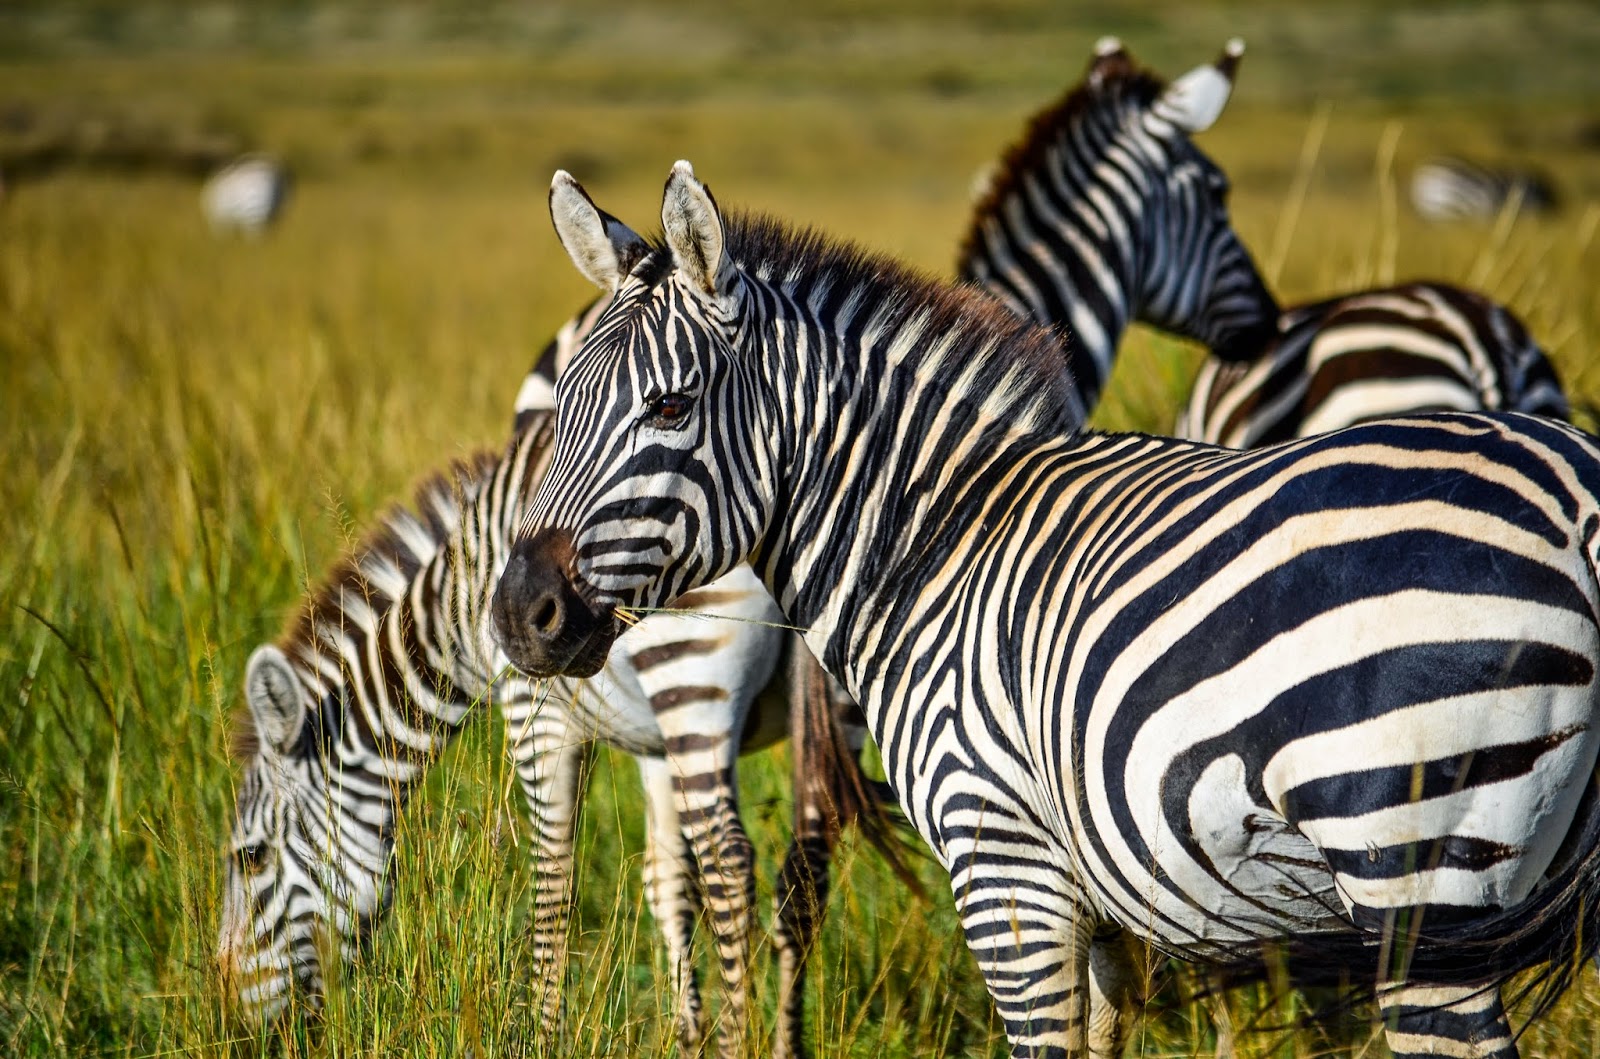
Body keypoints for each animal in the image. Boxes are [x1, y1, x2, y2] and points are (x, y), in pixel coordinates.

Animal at [217, 409, 912, 1058]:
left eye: (251, 858)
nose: (232, 1021)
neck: (460, 603)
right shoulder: (653, 747)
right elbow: (667, 881)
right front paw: (685, 1035)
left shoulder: (536, 712)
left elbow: (552, 886)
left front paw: (540, 1038)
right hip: (840, 685)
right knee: (803, 878)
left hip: (688, 672)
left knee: (730, 866)